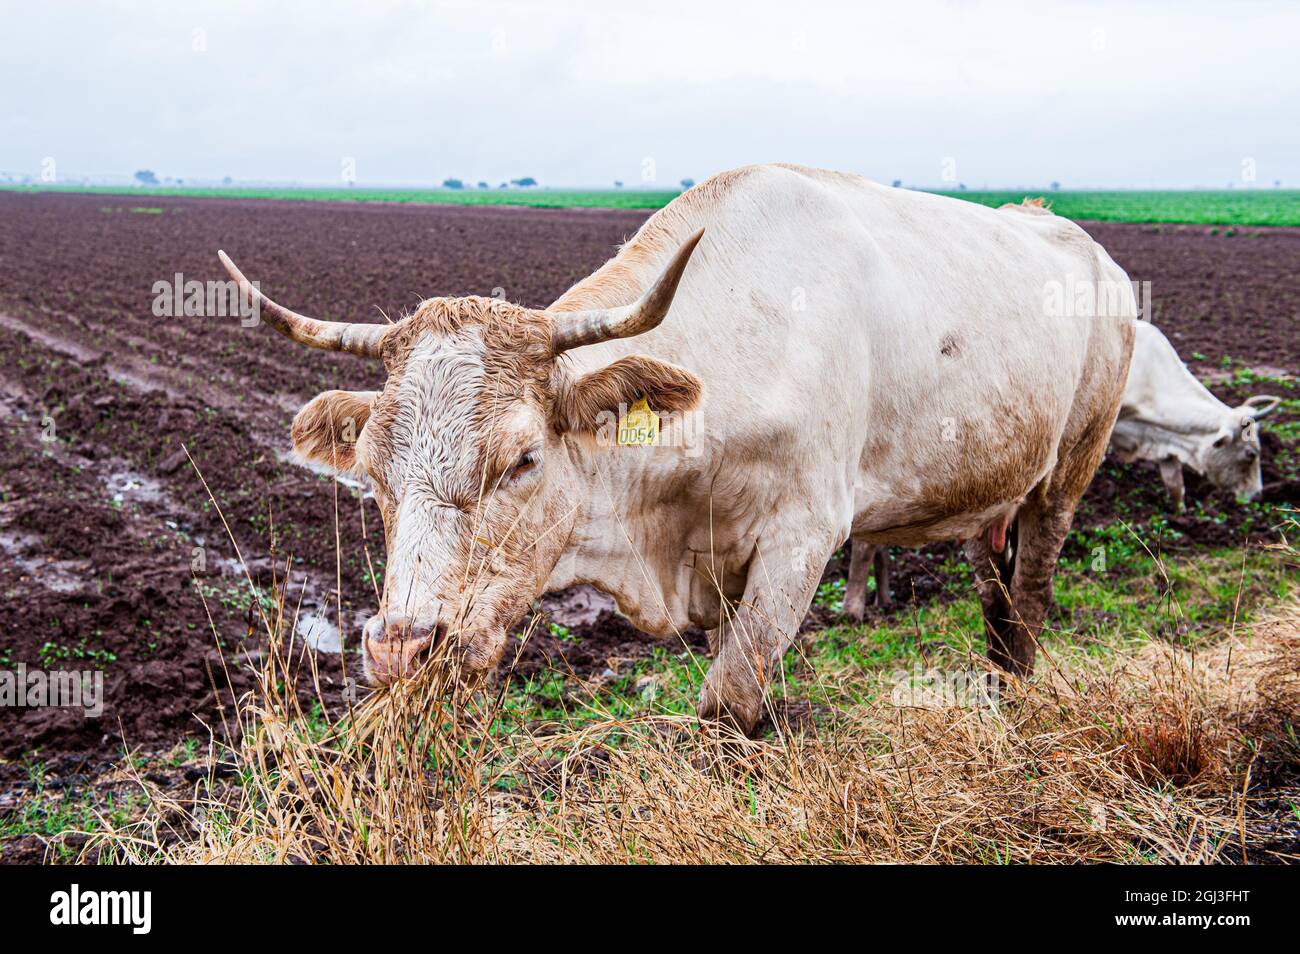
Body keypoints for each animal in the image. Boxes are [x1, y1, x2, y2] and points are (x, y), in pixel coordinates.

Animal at [218, 164, 1135, 734]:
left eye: (522, 460)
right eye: (374, 473)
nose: (402, 647)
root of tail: (1088, 249)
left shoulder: (802, 538)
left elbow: (727, 700)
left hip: (1067, 473)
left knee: (1030, 594)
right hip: (993, 485)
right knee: (995, 592)